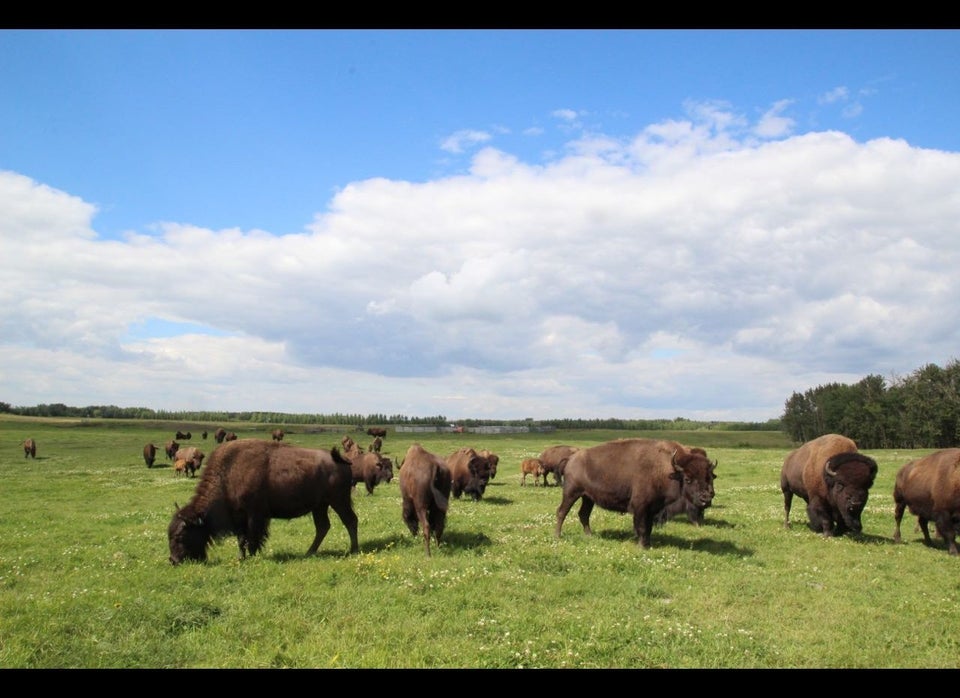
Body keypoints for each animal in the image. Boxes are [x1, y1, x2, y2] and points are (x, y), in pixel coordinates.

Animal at [167, 439, 359, 565]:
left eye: (180, 536)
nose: (173, 560)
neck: (228, 475)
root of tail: (340, 459)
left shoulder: (254, 515)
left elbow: (252, 537)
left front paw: (252, 556)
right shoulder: (239, 518)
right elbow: (241, 539)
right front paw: (241, 557)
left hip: (338, 501)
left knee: (350, 521)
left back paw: (353, 550)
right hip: (320, 506)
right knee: (323, 527)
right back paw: (309, 553)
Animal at [556, 438, 717, 549]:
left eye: (709, 477)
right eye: (688, 479)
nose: (706, 498)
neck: (667, 470)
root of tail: (571, 458)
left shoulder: (652, 509)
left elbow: (649, 528)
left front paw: (648, 544)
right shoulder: (641, 507)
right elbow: (642, 527)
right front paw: (641, 546)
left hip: (588, 497)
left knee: (583, 514)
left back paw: (589, 535)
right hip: (571, 493)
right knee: (562, 512)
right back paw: (558, 536)